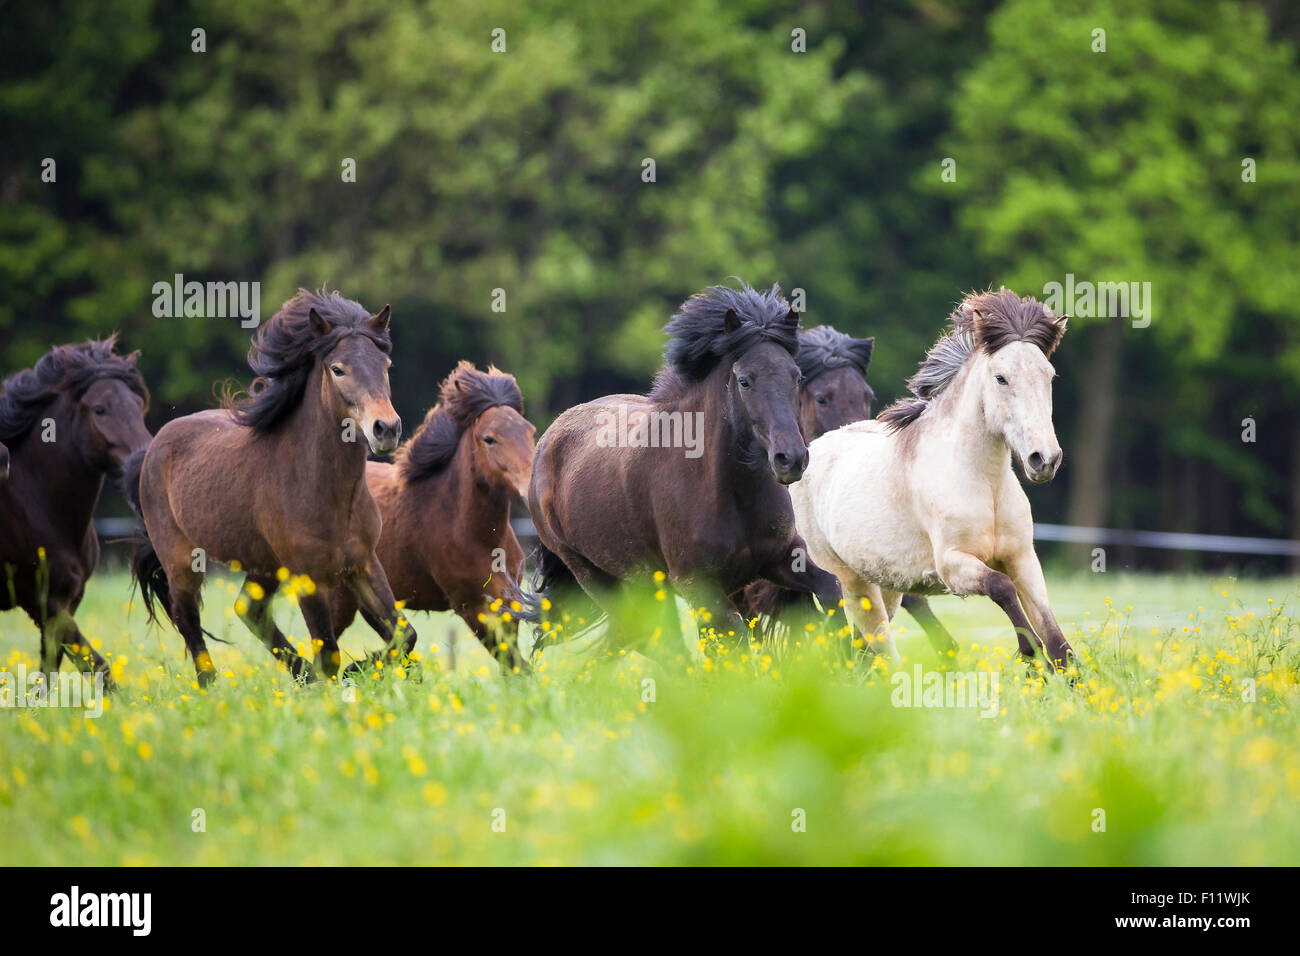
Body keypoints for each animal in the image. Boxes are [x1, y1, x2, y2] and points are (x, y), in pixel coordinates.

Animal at [0, 337, 151, 687]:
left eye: (139, 405)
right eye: (100, 409)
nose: (142, 469)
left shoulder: (69, 598)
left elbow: (51, 671)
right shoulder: (39, 598)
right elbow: (98, 668)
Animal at [124, 286, 416, 686]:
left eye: (385, 365)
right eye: (338, 369)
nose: (386, 429)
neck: (325, 490)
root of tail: (154, 446)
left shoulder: (363, 564)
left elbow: (404, 635)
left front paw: (357, 667)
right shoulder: (310, 579)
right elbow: (329, 654)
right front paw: (344, 674)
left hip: (262, 565)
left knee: (249, 609)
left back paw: (301, 676)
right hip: (181, 561)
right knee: (188, 620)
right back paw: (212, 686)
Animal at [327, 361, 536, 674]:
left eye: (529, 431)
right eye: (489, 439)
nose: (531, 489)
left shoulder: (507, 606)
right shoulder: (471, 606)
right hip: (340, 598)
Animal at [530, 281, 841, 662]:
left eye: (797, 376)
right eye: (744, 380)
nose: (791, 458)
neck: (734, 493)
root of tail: (548, 440)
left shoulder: (783, 558)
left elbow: (832, 591)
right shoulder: (698, 585)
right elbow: (732, 640)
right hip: (597, 577)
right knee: (654, 643)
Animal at [789, 288, 1073, 671]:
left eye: (1049, 376)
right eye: (1001, 378)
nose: (1044, 459)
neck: (985, 483)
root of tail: (808, 457)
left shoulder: (1022, 559)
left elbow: (1058, 641)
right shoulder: (952, 565)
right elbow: (1001, 587)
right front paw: (1029, 653)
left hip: (886, 586)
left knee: (867, 649)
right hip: (851, 584)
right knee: (877, 649)